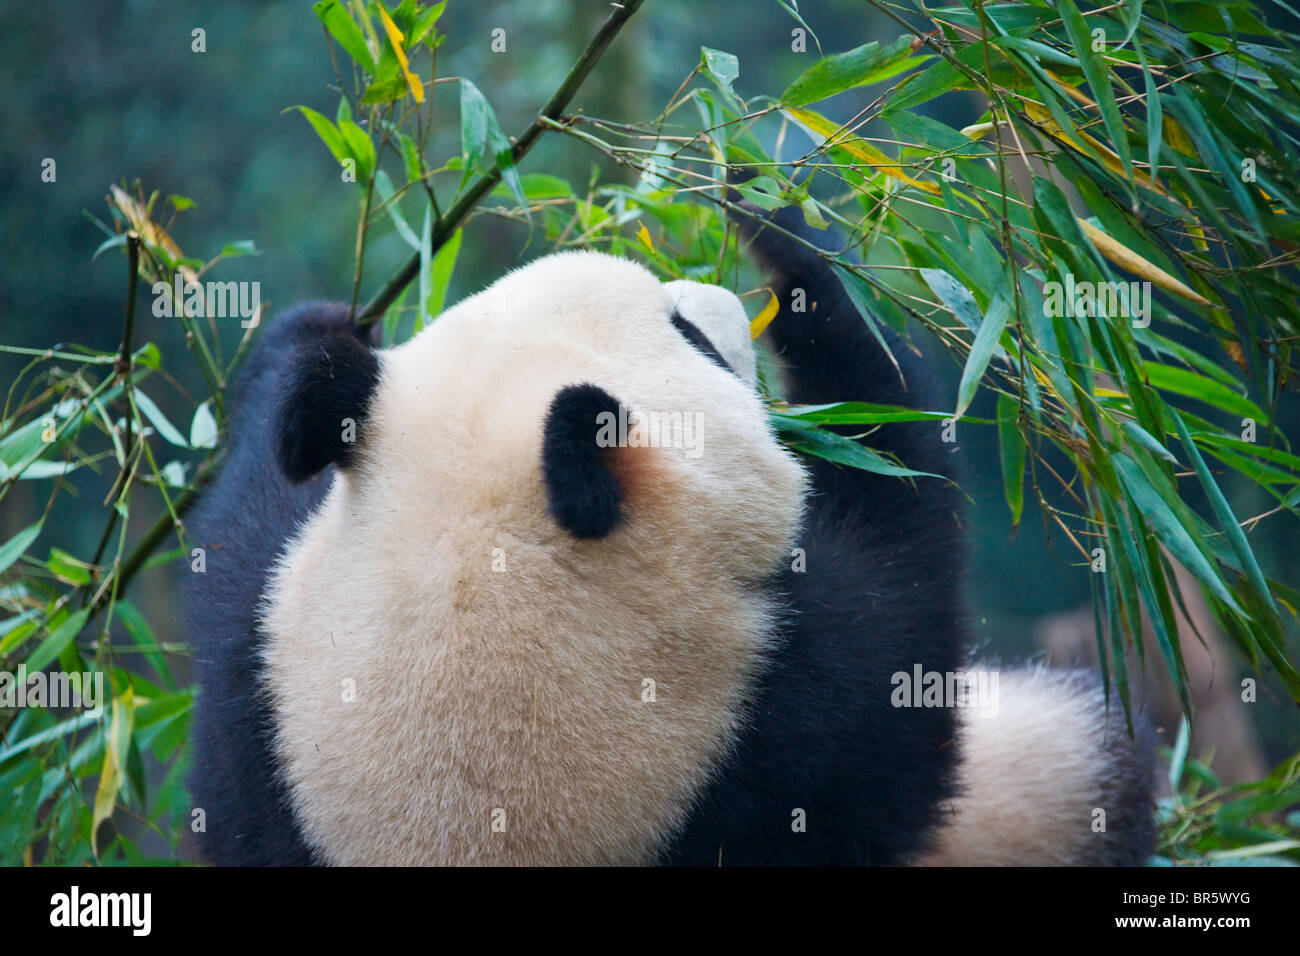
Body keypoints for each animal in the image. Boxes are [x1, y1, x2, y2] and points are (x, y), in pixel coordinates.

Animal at [185, 205, 1155, 866]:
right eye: (689, 335)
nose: (719, 295)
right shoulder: (780, 737)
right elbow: (905, 560)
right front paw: (798, 259)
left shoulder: (257, 734)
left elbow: (247, 534)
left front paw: (310, 342)